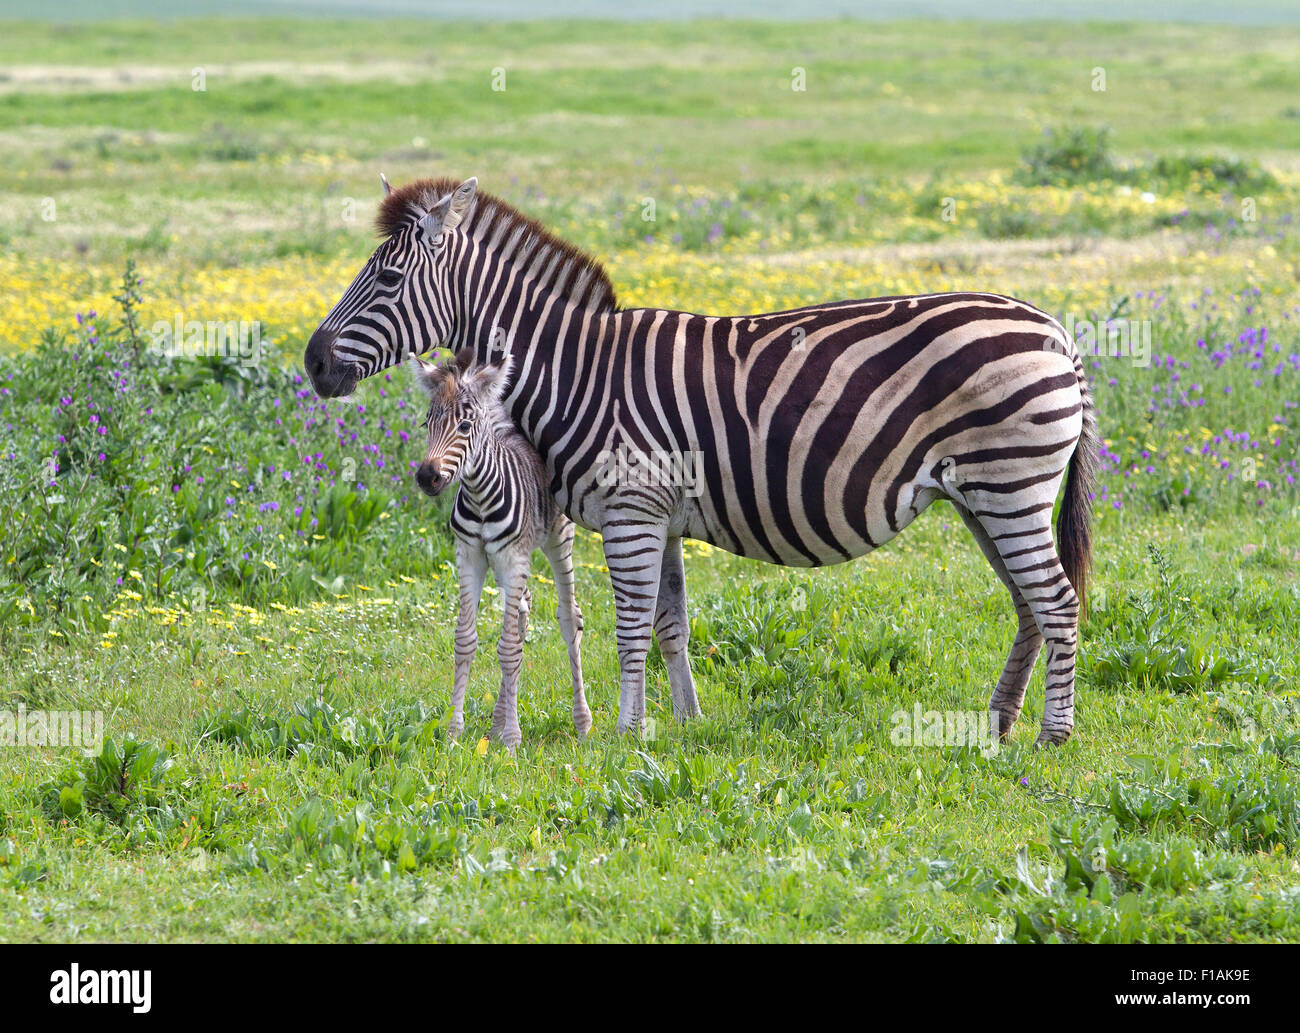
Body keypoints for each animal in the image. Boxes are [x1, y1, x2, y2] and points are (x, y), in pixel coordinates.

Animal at [408, 348, 591, 748]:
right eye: (427, 424)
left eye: (464, 427)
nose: (427, 477)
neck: (479, 496)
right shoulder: (470, 557)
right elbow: (466, 641)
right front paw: (454, 733)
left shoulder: (513, 558)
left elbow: (508, 650)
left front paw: (511, 740)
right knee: (522, 613)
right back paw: (497, 720)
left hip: (556, 541)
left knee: (569, 620)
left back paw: (582, 722)